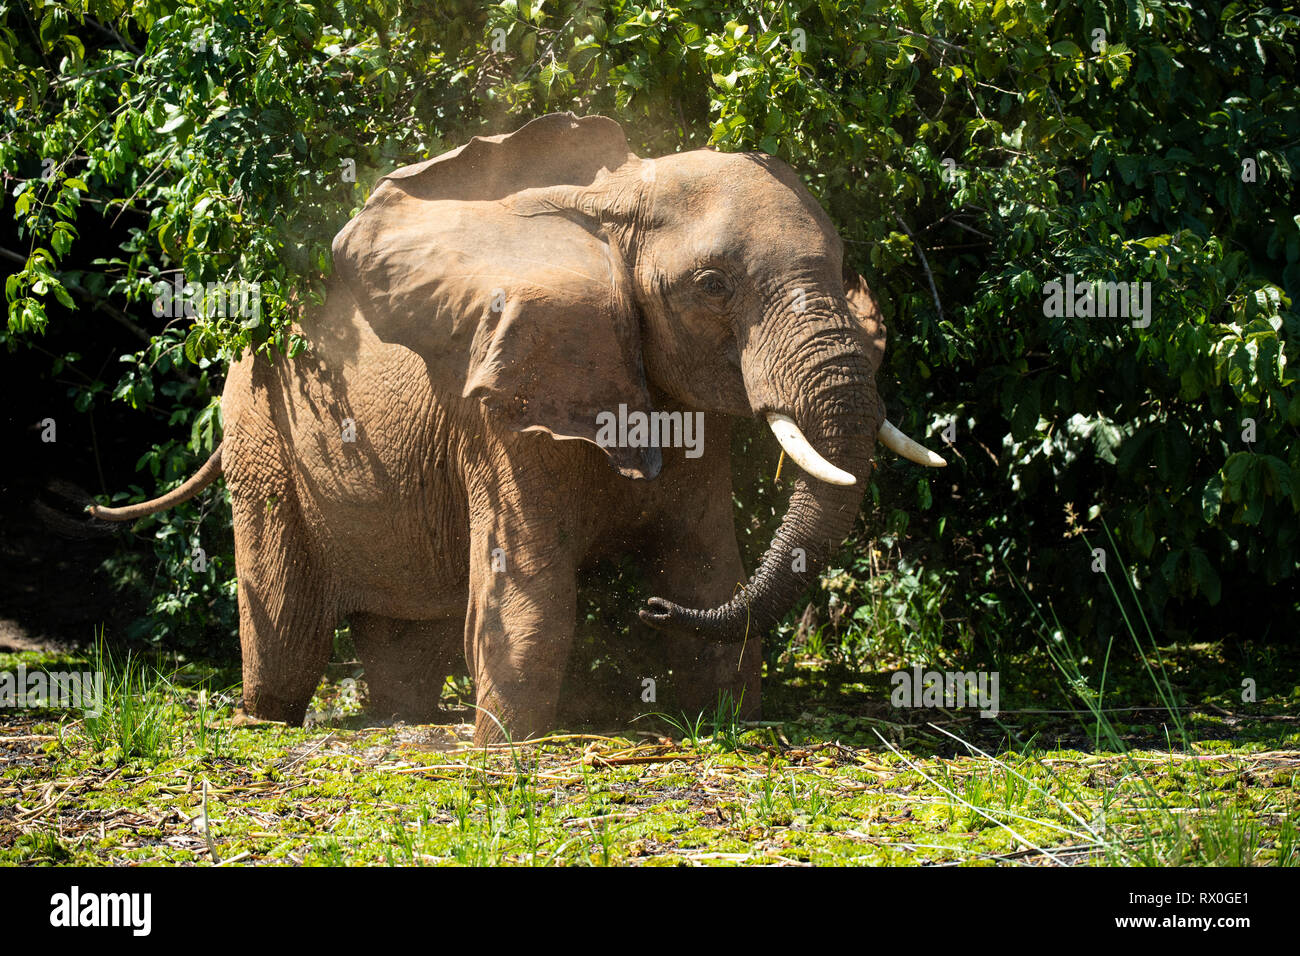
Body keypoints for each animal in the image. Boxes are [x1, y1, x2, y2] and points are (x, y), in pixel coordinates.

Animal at [89, 112, 945, 744]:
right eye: (712, 286)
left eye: (841, 269)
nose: (644, 609)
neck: (615, 206)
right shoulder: (503, 402)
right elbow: (535, 588)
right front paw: (505, 747)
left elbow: (703, 568)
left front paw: (724, 720)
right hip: (258, 427)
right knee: (285, 611)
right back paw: (266, 720)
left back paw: (407, 717)